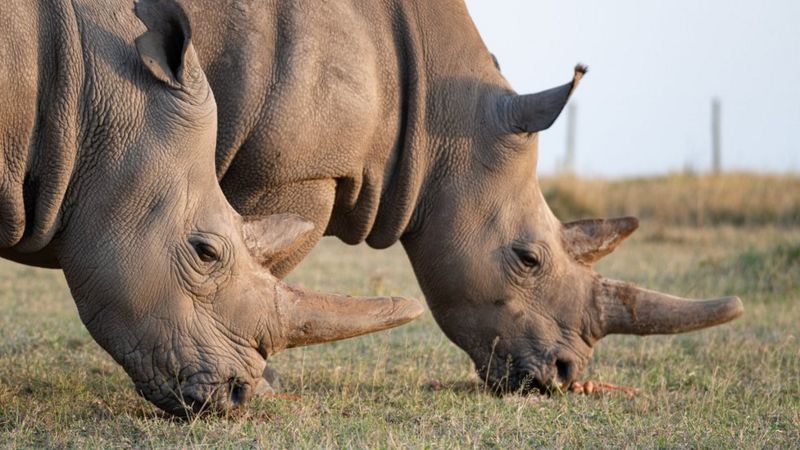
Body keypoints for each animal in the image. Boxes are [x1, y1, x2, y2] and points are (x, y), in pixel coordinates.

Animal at [182, 0, 744, 393]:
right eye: (528, 259)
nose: (566, 374)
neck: (435, 113)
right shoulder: (290, 174)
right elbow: (260, 265)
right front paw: (257, 381)